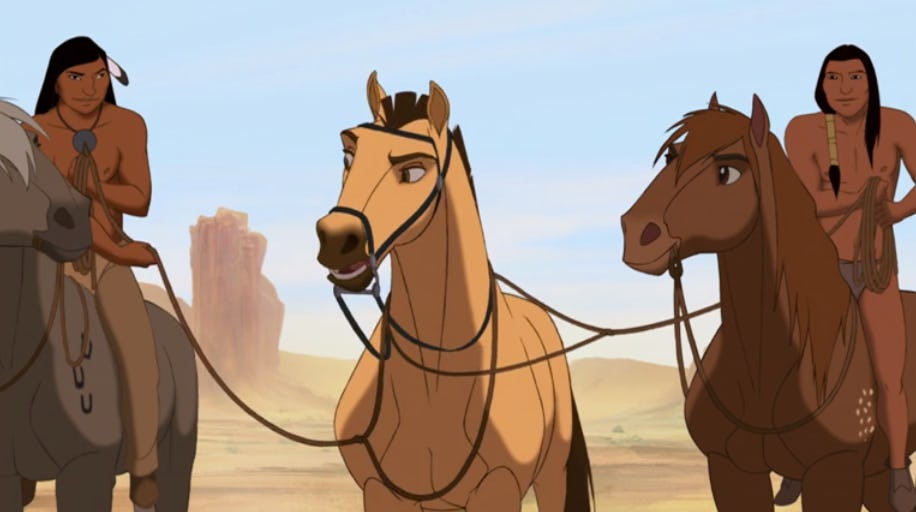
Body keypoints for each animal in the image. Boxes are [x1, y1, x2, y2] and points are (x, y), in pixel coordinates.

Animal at [314, 72, 593, 511]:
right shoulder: (380, 492)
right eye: (348, 155)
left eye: (415, 171)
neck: (436, 386)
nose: (338, 240)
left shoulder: (498, 489)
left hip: (553, 475)